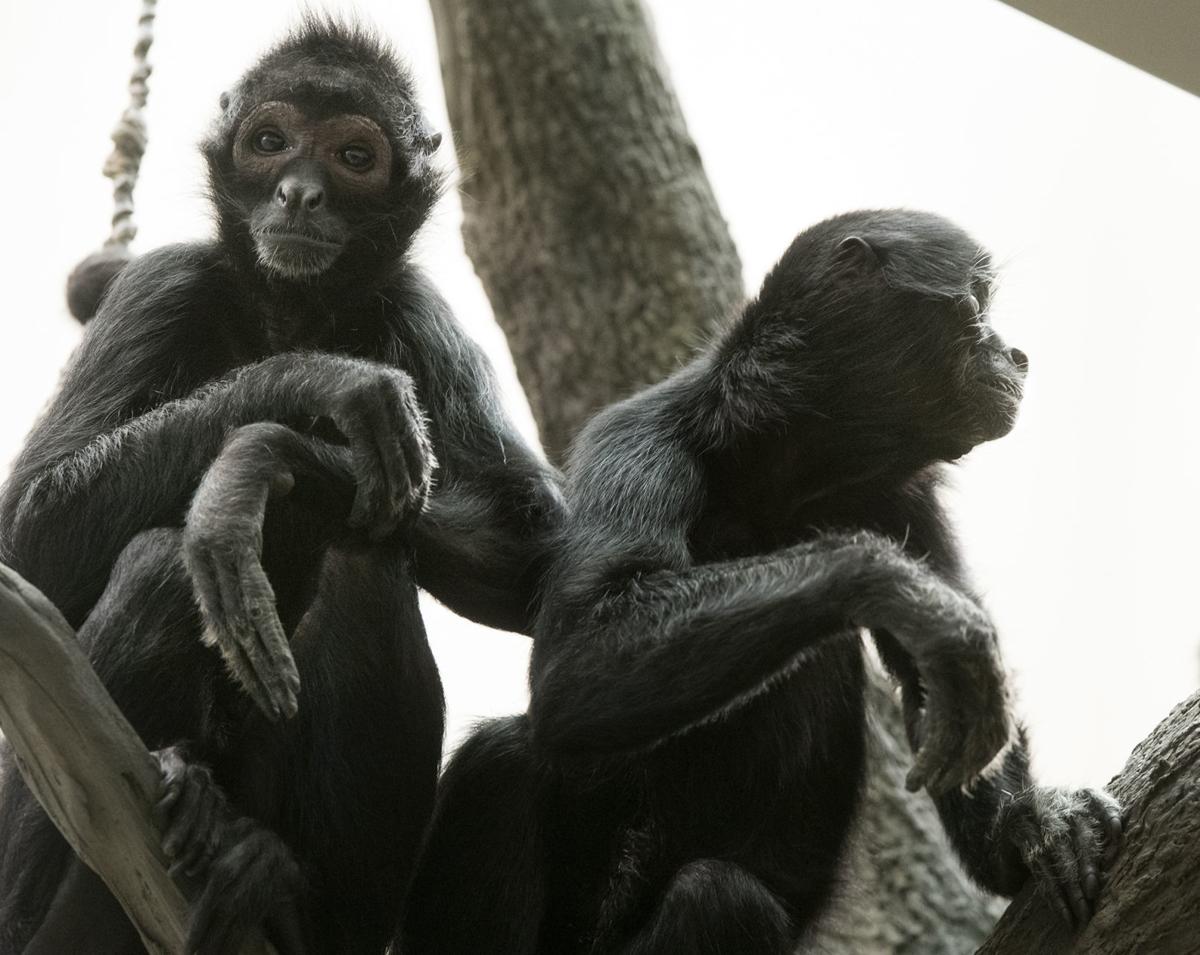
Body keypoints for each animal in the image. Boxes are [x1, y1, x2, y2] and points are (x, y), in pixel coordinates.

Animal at [0, 18, 561, 954]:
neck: (289, 310)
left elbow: (541, 558)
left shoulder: (418, 310)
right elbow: (28, 536)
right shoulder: (162, 281)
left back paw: (278, 886)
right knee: (162, 565)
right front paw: (317, 382)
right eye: (270, 143)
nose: (300, 193)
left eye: (353, 156)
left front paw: (261, 459)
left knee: (364, 561)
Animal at [402, 209, 1123, 954]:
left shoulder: (905, 497)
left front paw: (1029, 825)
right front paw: (906, 594)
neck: (784, 472)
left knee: (719, 897)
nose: (1015, 354)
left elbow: (939, 692)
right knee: (507, 759)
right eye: (976, 306)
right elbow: (581, 656)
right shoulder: (636, 439)